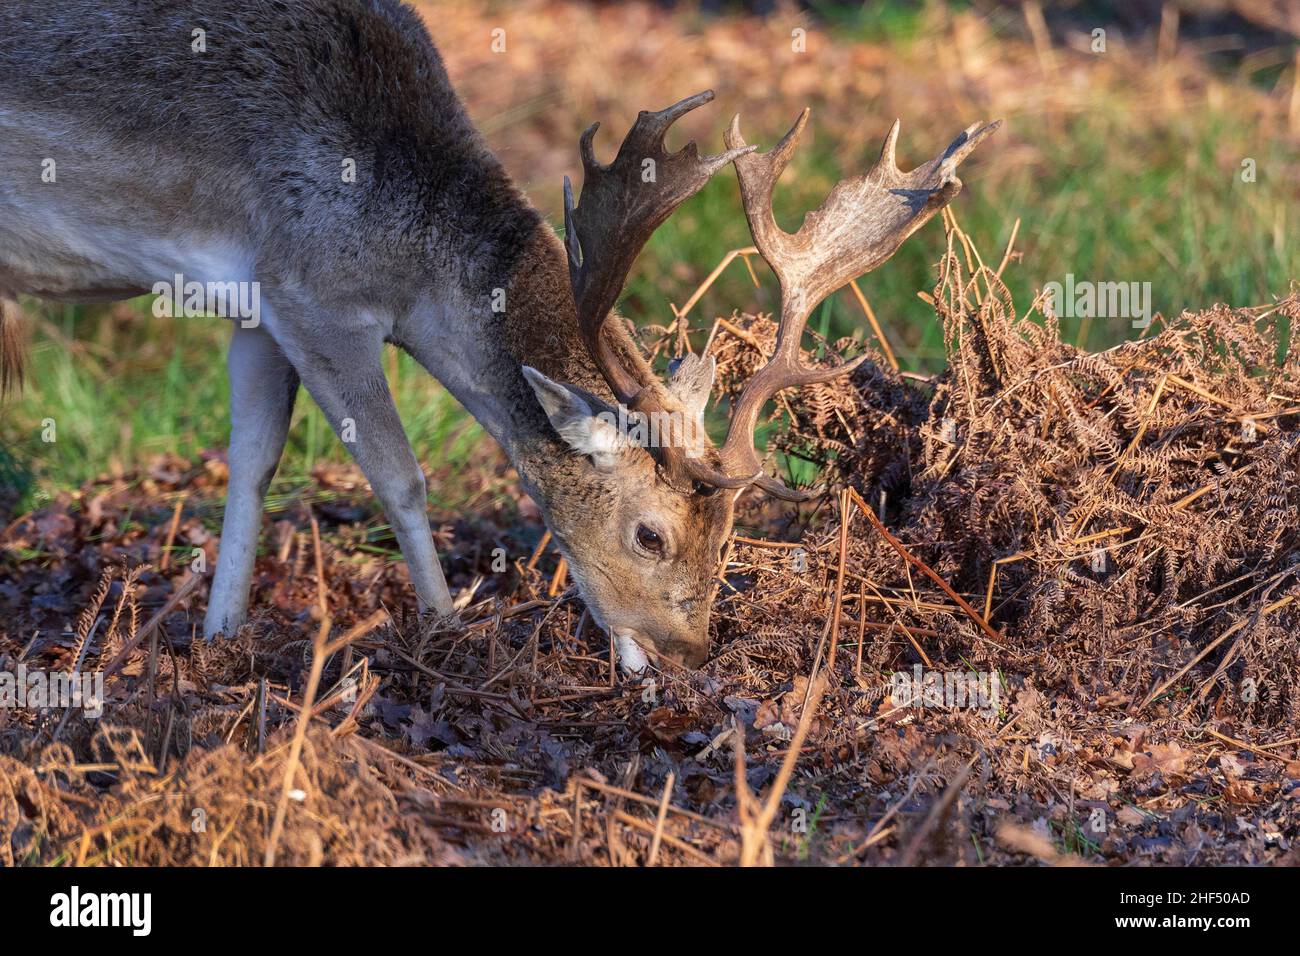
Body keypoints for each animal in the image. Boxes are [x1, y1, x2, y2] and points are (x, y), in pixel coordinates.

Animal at [0, 0, 997, 671]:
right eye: (650, 535)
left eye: (730, 536)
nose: (688, 653)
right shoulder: (312, 293)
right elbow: (401, 475)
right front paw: (445, 625)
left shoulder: (256, 304)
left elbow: (251, 462)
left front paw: (220, 638)